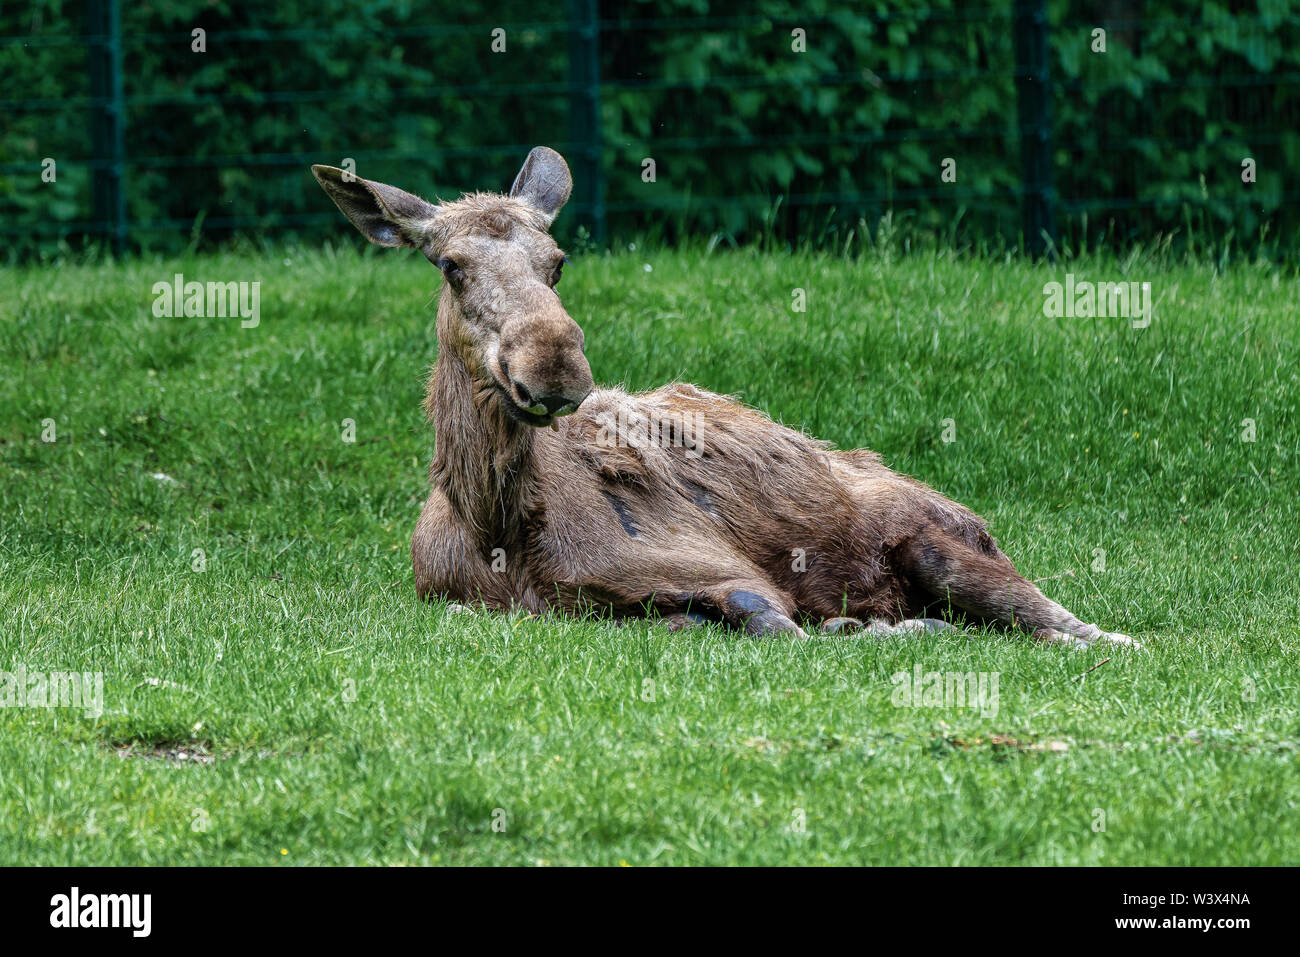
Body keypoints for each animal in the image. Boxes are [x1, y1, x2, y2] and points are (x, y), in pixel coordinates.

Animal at [311, 147, 1138, 650]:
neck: (498, 527)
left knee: (1084, 628)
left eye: (558, 258)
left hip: (953, 546)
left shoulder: (731, 570)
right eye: (449, 264)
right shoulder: (461, 600)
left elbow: (776, 624)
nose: (554, 367)